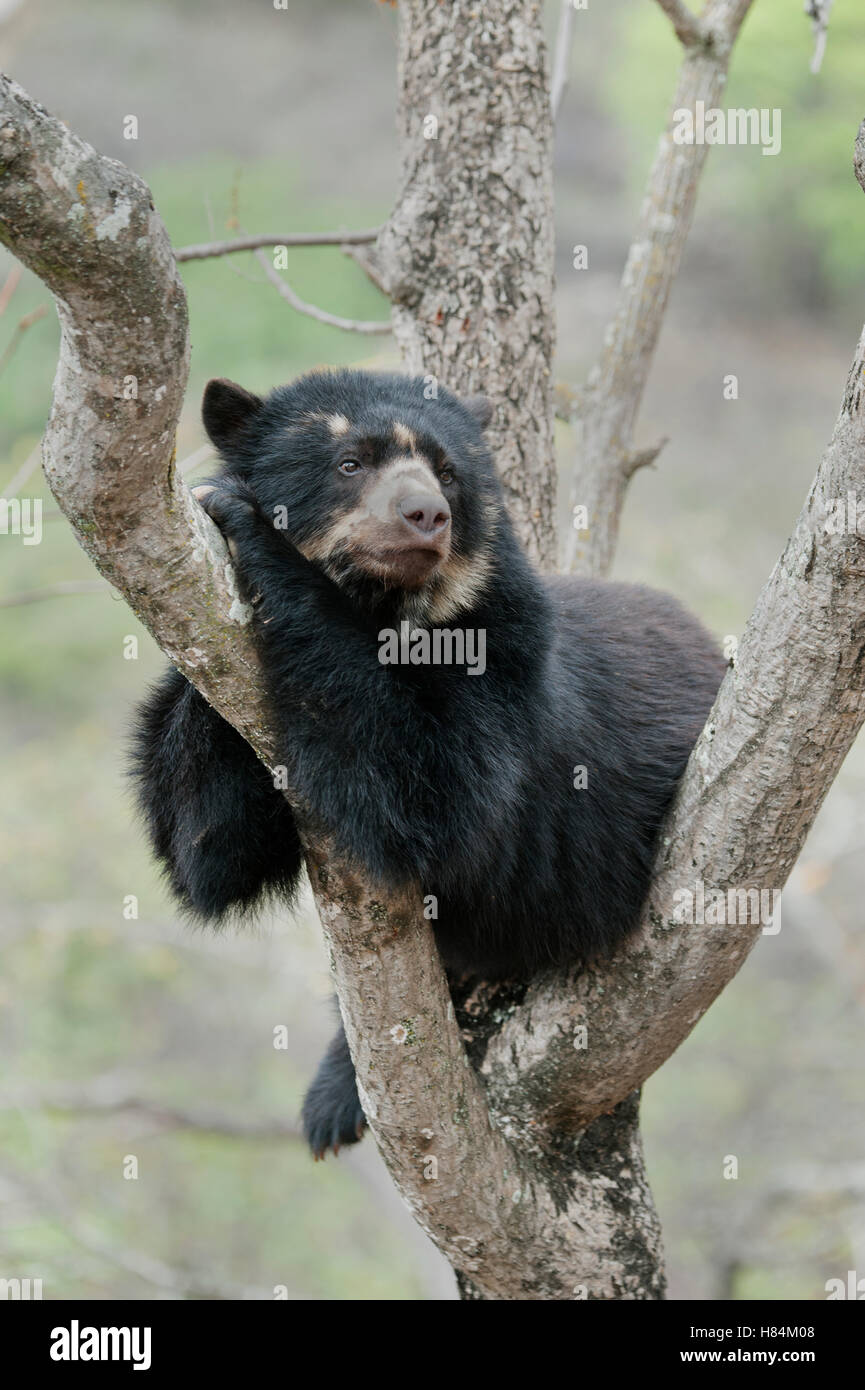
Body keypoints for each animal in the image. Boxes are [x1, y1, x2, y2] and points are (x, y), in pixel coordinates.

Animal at [130, 368, 726, 1158]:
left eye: (447, 472)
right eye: (348, 462)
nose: (426, 514)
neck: (391, 611)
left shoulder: (505, 666)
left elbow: (430, 794)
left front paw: (242, 518)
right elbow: (212, 846)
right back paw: (334, 1101)